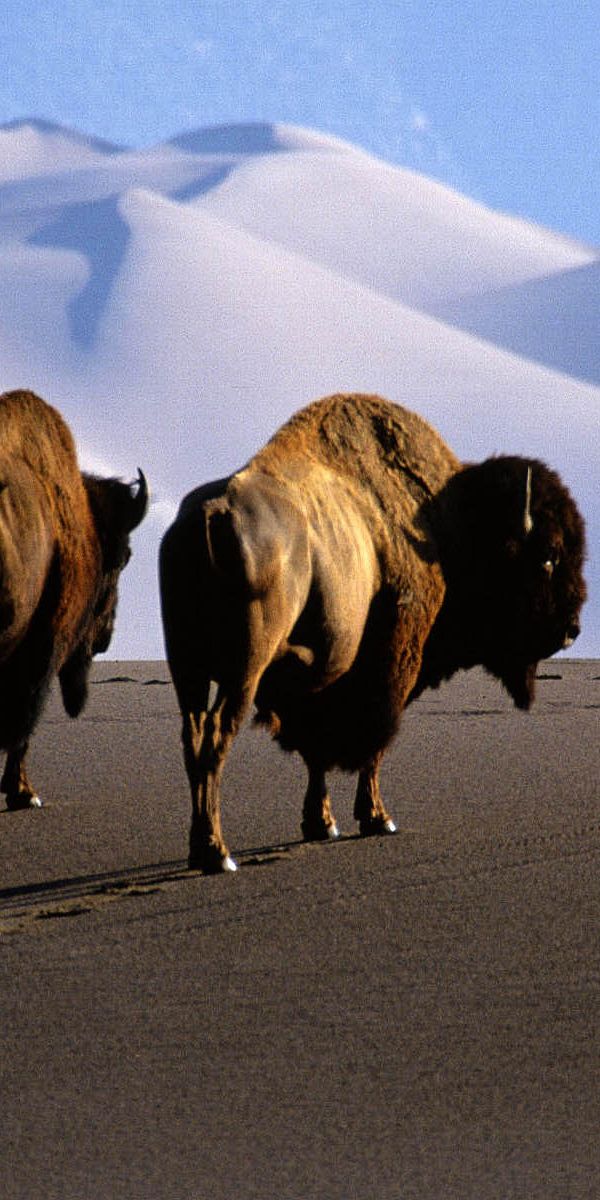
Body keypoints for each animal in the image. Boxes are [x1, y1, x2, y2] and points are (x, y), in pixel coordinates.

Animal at [160, 393, 586, 873]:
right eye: (548, 557)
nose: (571, 629)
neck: (445, 525)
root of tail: (211, 514)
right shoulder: (392, 669)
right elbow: (373, 746)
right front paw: (378, 819)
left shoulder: (319, 680)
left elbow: (317, 752)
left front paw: (322, 823)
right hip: (243, 670)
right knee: (217, 734)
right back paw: (218, 853)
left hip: (188, 669)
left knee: (193, 736)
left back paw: (201, 847)